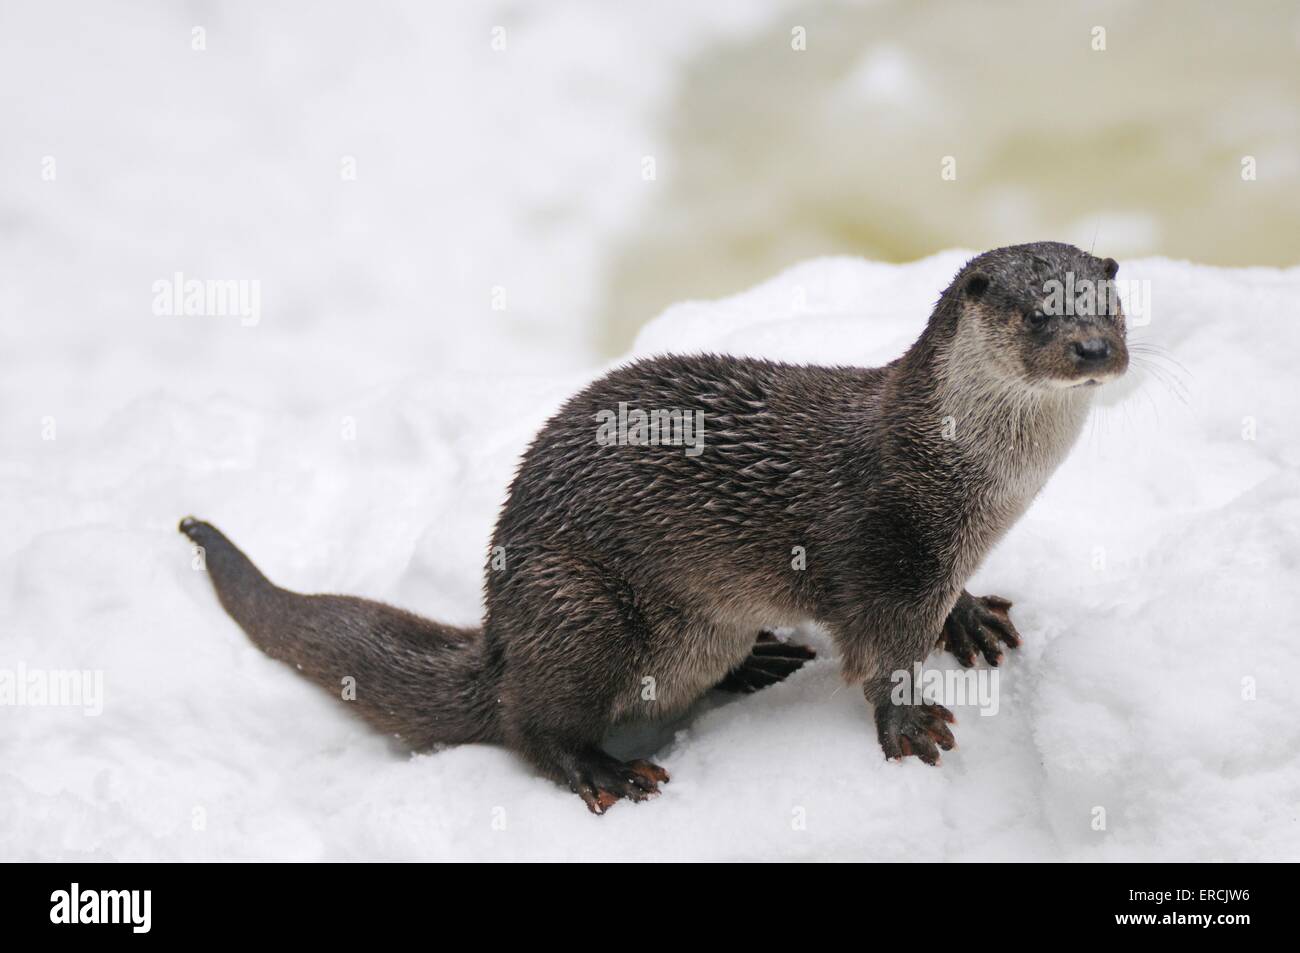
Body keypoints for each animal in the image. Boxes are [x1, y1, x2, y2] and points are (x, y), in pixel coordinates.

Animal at [180, 242, 1128, 814]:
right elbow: (882, 656)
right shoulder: (886, 554)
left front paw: (968, 616)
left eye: (1110, 307)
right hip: (575, 604)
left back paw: (760, 660)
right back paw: (604, 771)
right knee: (528, 724)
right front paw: (908, 723)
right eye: (1039, 313)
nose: (1093, 350)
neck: (959, 472)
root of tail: (496, 633)